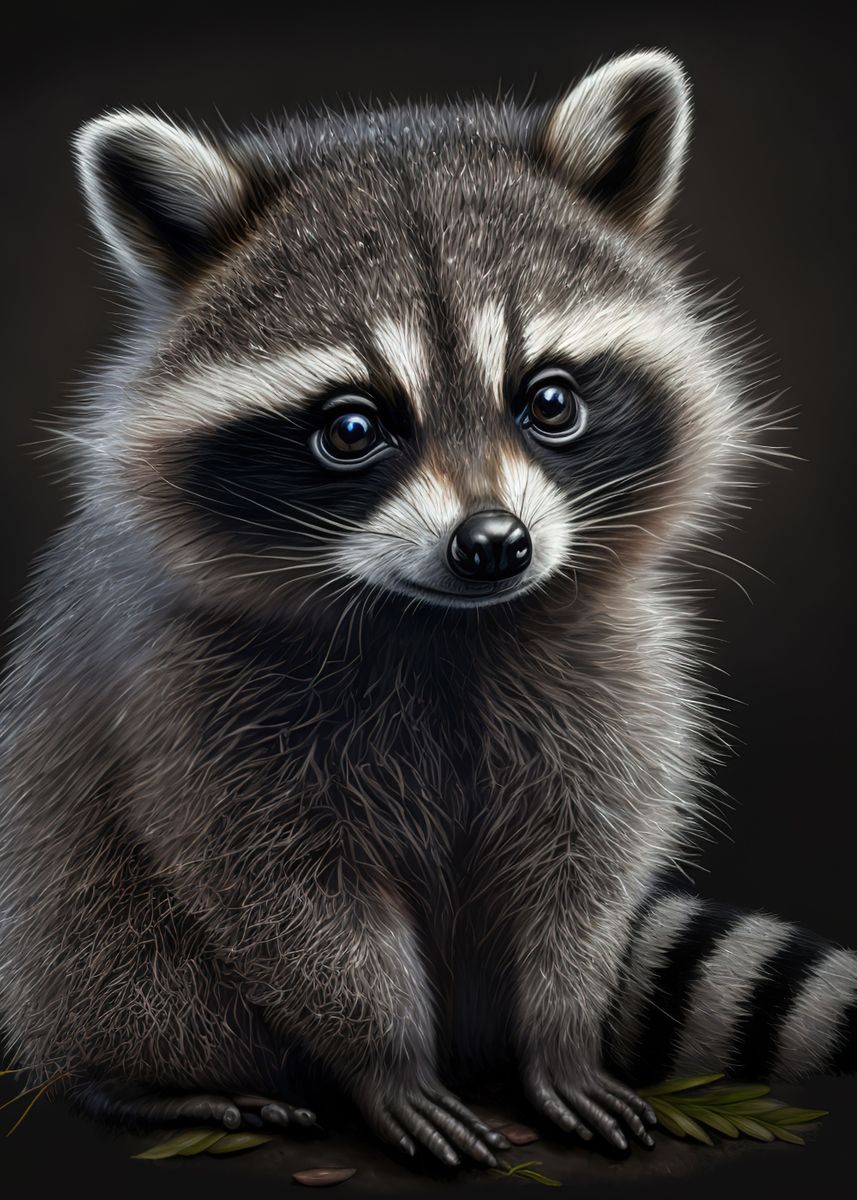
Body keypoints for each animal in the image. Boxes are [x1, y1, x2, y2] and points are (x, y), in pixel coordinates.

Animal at [1, 50, 855, 1167]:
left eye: (549, 400)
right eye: (351, 428)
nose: (493, 545)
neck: (447, 625)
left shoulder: (614, 673)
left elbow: (580, 868)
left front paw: (560, 1039)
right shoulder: (200, 701)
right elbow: (286, 899)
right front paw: (385, 1060)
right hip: (71, 934)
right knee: (127, 967)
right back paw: (150, 1080)